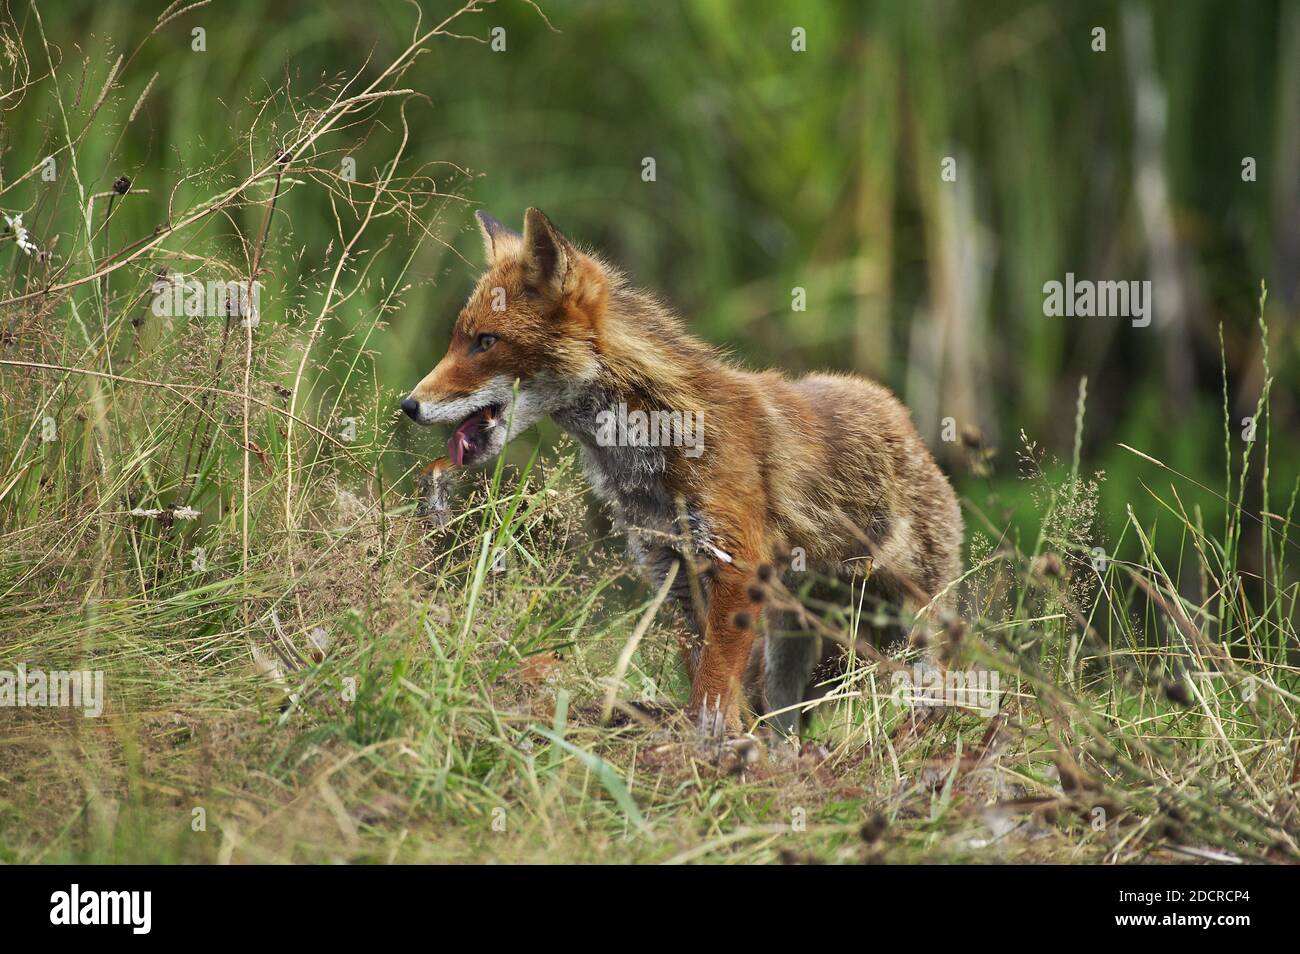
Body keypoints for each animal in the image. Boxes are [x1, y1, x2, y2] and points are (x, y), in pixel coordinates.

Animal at [401, 208, 963, 739]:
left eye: (485, 342)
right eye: (458, 340)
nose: (408, 405)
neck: (655, 438)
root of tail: (906, 420)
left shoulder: (737, 562)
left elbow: (715, 681)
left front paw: (710, 742)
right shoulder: (670, 568)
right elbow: (702, 669)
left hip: (914, 616)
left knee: (933, 684)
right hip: (793, 640)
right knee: (784, 716)